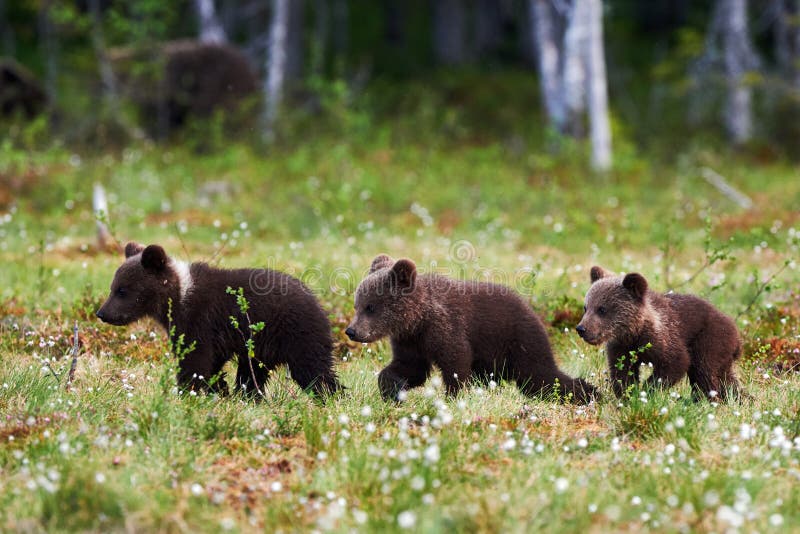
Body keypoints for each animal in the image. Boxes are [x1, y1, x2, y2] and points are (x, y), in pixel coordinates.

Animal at [96, 242, 340, 397]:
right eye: (113, 287)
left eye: (122, 290)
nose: (102, 313)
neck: (178, 296)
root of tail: (319, 303)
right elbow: (212, 363)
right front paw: (219, 390)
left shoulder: (198, 319)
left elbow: (195, 359)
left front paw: (188, 392)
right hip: (261, 348)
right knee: (252, 374)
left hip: (295, 333)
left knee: (313, 369)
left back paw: (330, 395)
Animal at [345, 254, 597, 403]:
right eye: (357, 304)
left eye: (370, 307)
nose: (351, 331)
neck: (418, 320)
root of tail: (534, 313)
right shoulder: (410, 341)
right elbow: (410, 367)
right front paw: (392, 390)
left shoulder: (445, 328)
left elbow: (456, 361)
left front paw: (454, 397)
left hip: (519, 342)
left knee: (541, 377)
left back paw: (590, 392)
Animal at [576, 266, 743, 401]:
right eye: (586, 307)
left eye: (602, 309)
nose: (581, 329)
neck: (635, 332)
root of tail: (736, 333)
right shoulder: (621, 347)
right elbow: (622, 372)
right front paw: (627, 396)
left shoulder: (664, 338)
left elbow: (675, 363)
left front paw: (646, 391)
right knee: (726, 378)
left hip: (710, 339)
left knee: (705, 372)